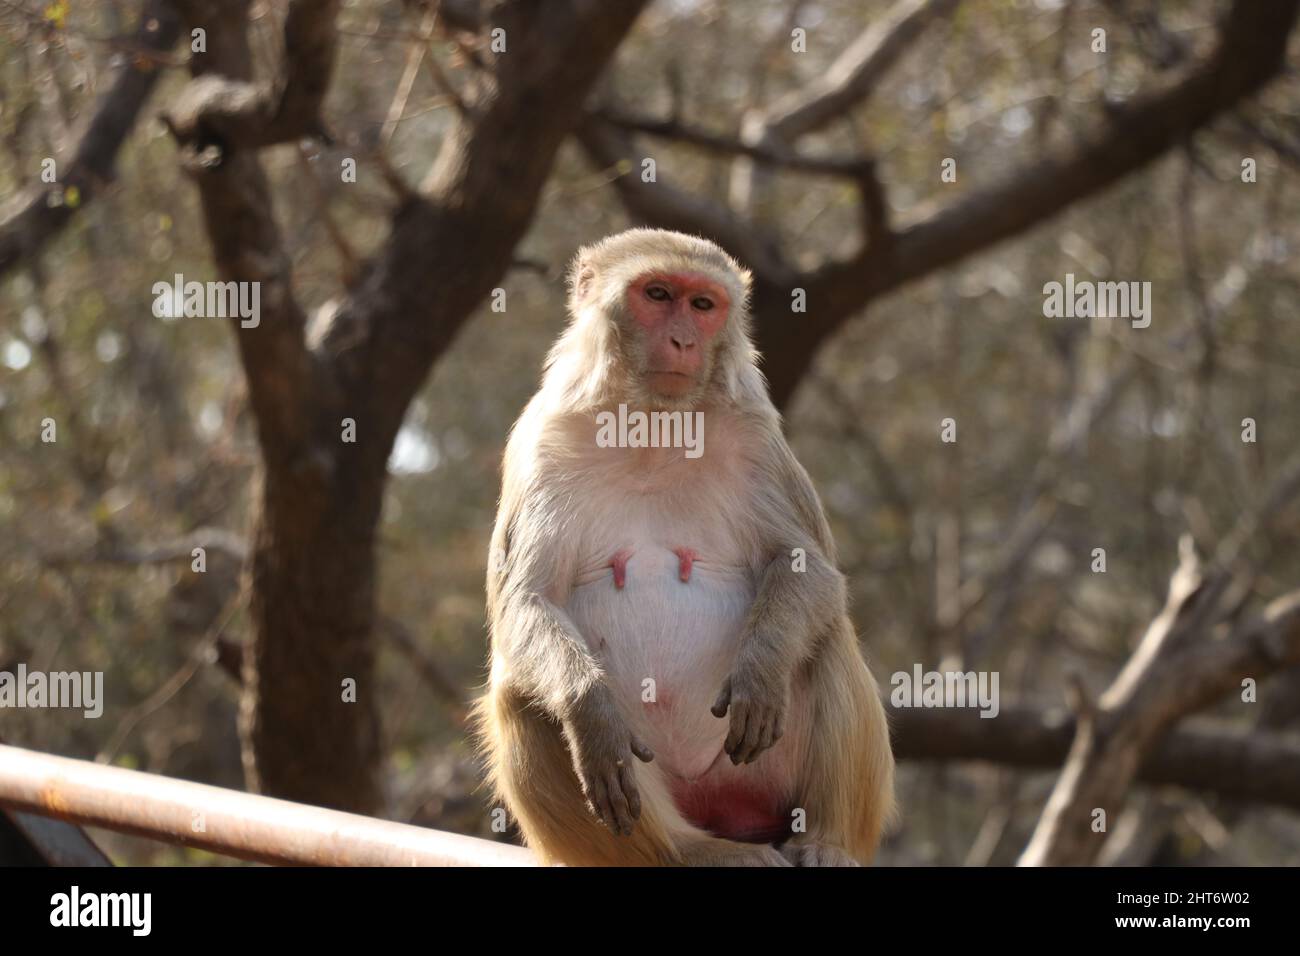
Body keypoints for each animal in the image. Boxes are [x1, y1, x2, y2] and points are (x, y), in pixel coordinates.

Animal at [474, 228, 895, 866]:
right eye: (657, 294)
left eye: (702, 305)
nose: (683, 340)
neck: (651, 425)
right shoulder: (543, 441)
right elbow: (526, 601)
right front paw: (591, 712)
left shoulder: (755, 436)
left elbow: (806, 569)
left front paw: (760, 669)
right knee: (520, 691)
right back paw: (690, 849)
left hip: (756, 780)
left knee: (826, 636)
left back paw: (825, 841)